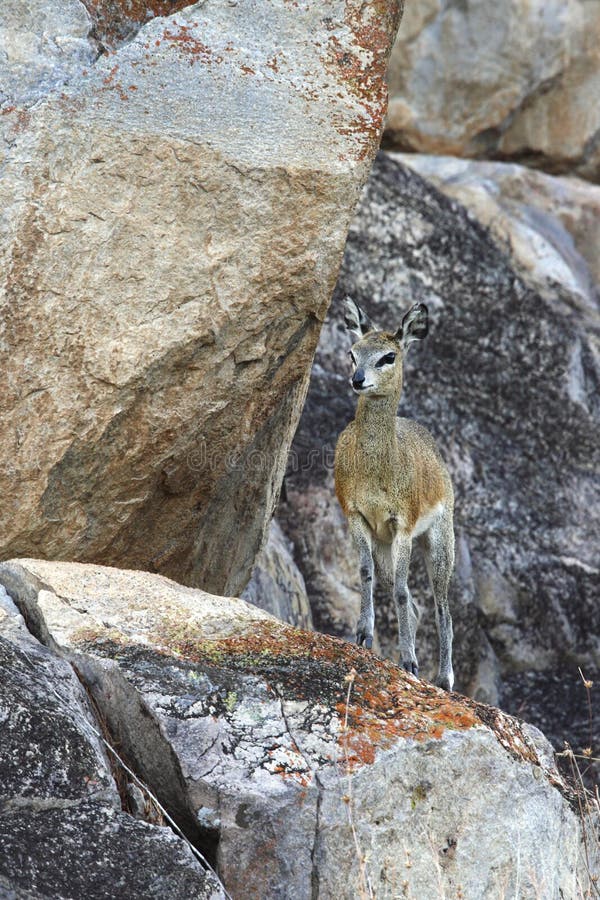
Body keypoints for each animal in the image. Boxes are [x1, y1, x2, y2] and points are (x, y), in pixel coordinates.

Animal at [334, 297, 455, 690]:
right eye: (353, 352)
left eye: (388, 356)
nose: (358, 380)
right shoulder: (357, 516)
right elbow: (364, 573)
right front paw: (363, 635)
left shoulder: (402, 524)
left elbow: (402, 591)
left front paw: (410, 660)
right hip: (384, 545)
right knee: (416, 605)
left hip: (439, 540)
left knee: (442, 606)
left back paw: (444, 677)